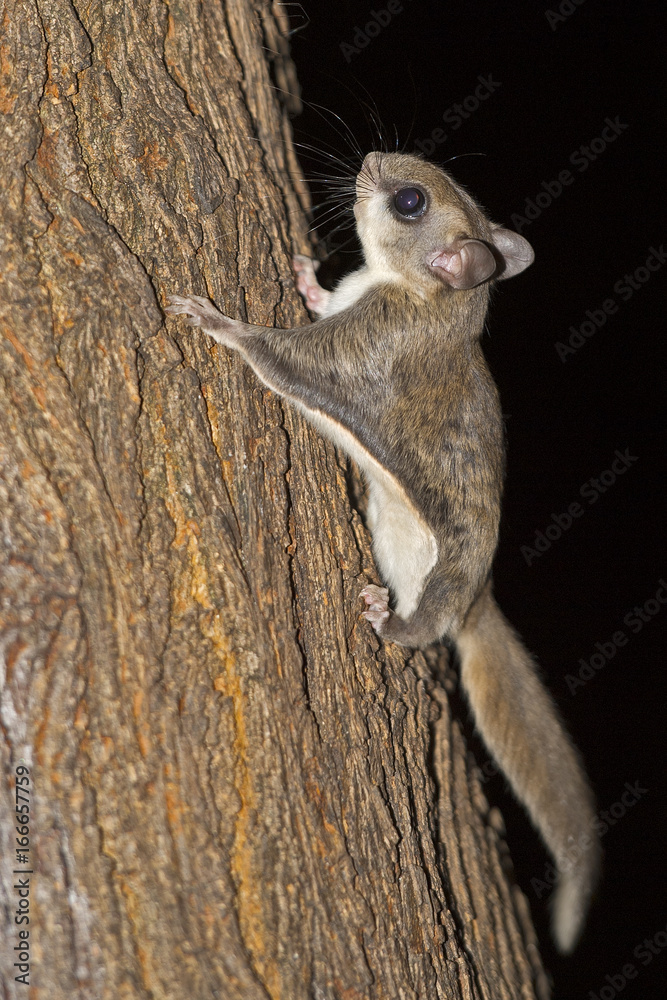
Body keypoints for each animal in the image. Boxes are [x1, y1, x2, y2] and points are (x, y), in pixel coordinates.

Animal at [166, 150, 600, 953]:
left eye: (408, 201)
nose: (369, 160)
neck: (424, 298)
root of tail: (476, 601)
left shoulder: (359, 350)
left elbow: (276, 355)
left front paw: (216, 321)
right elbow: (318, 302)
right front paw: (307, 276)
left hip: (440, 582)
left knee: (422, 631)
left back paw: (387, 619)